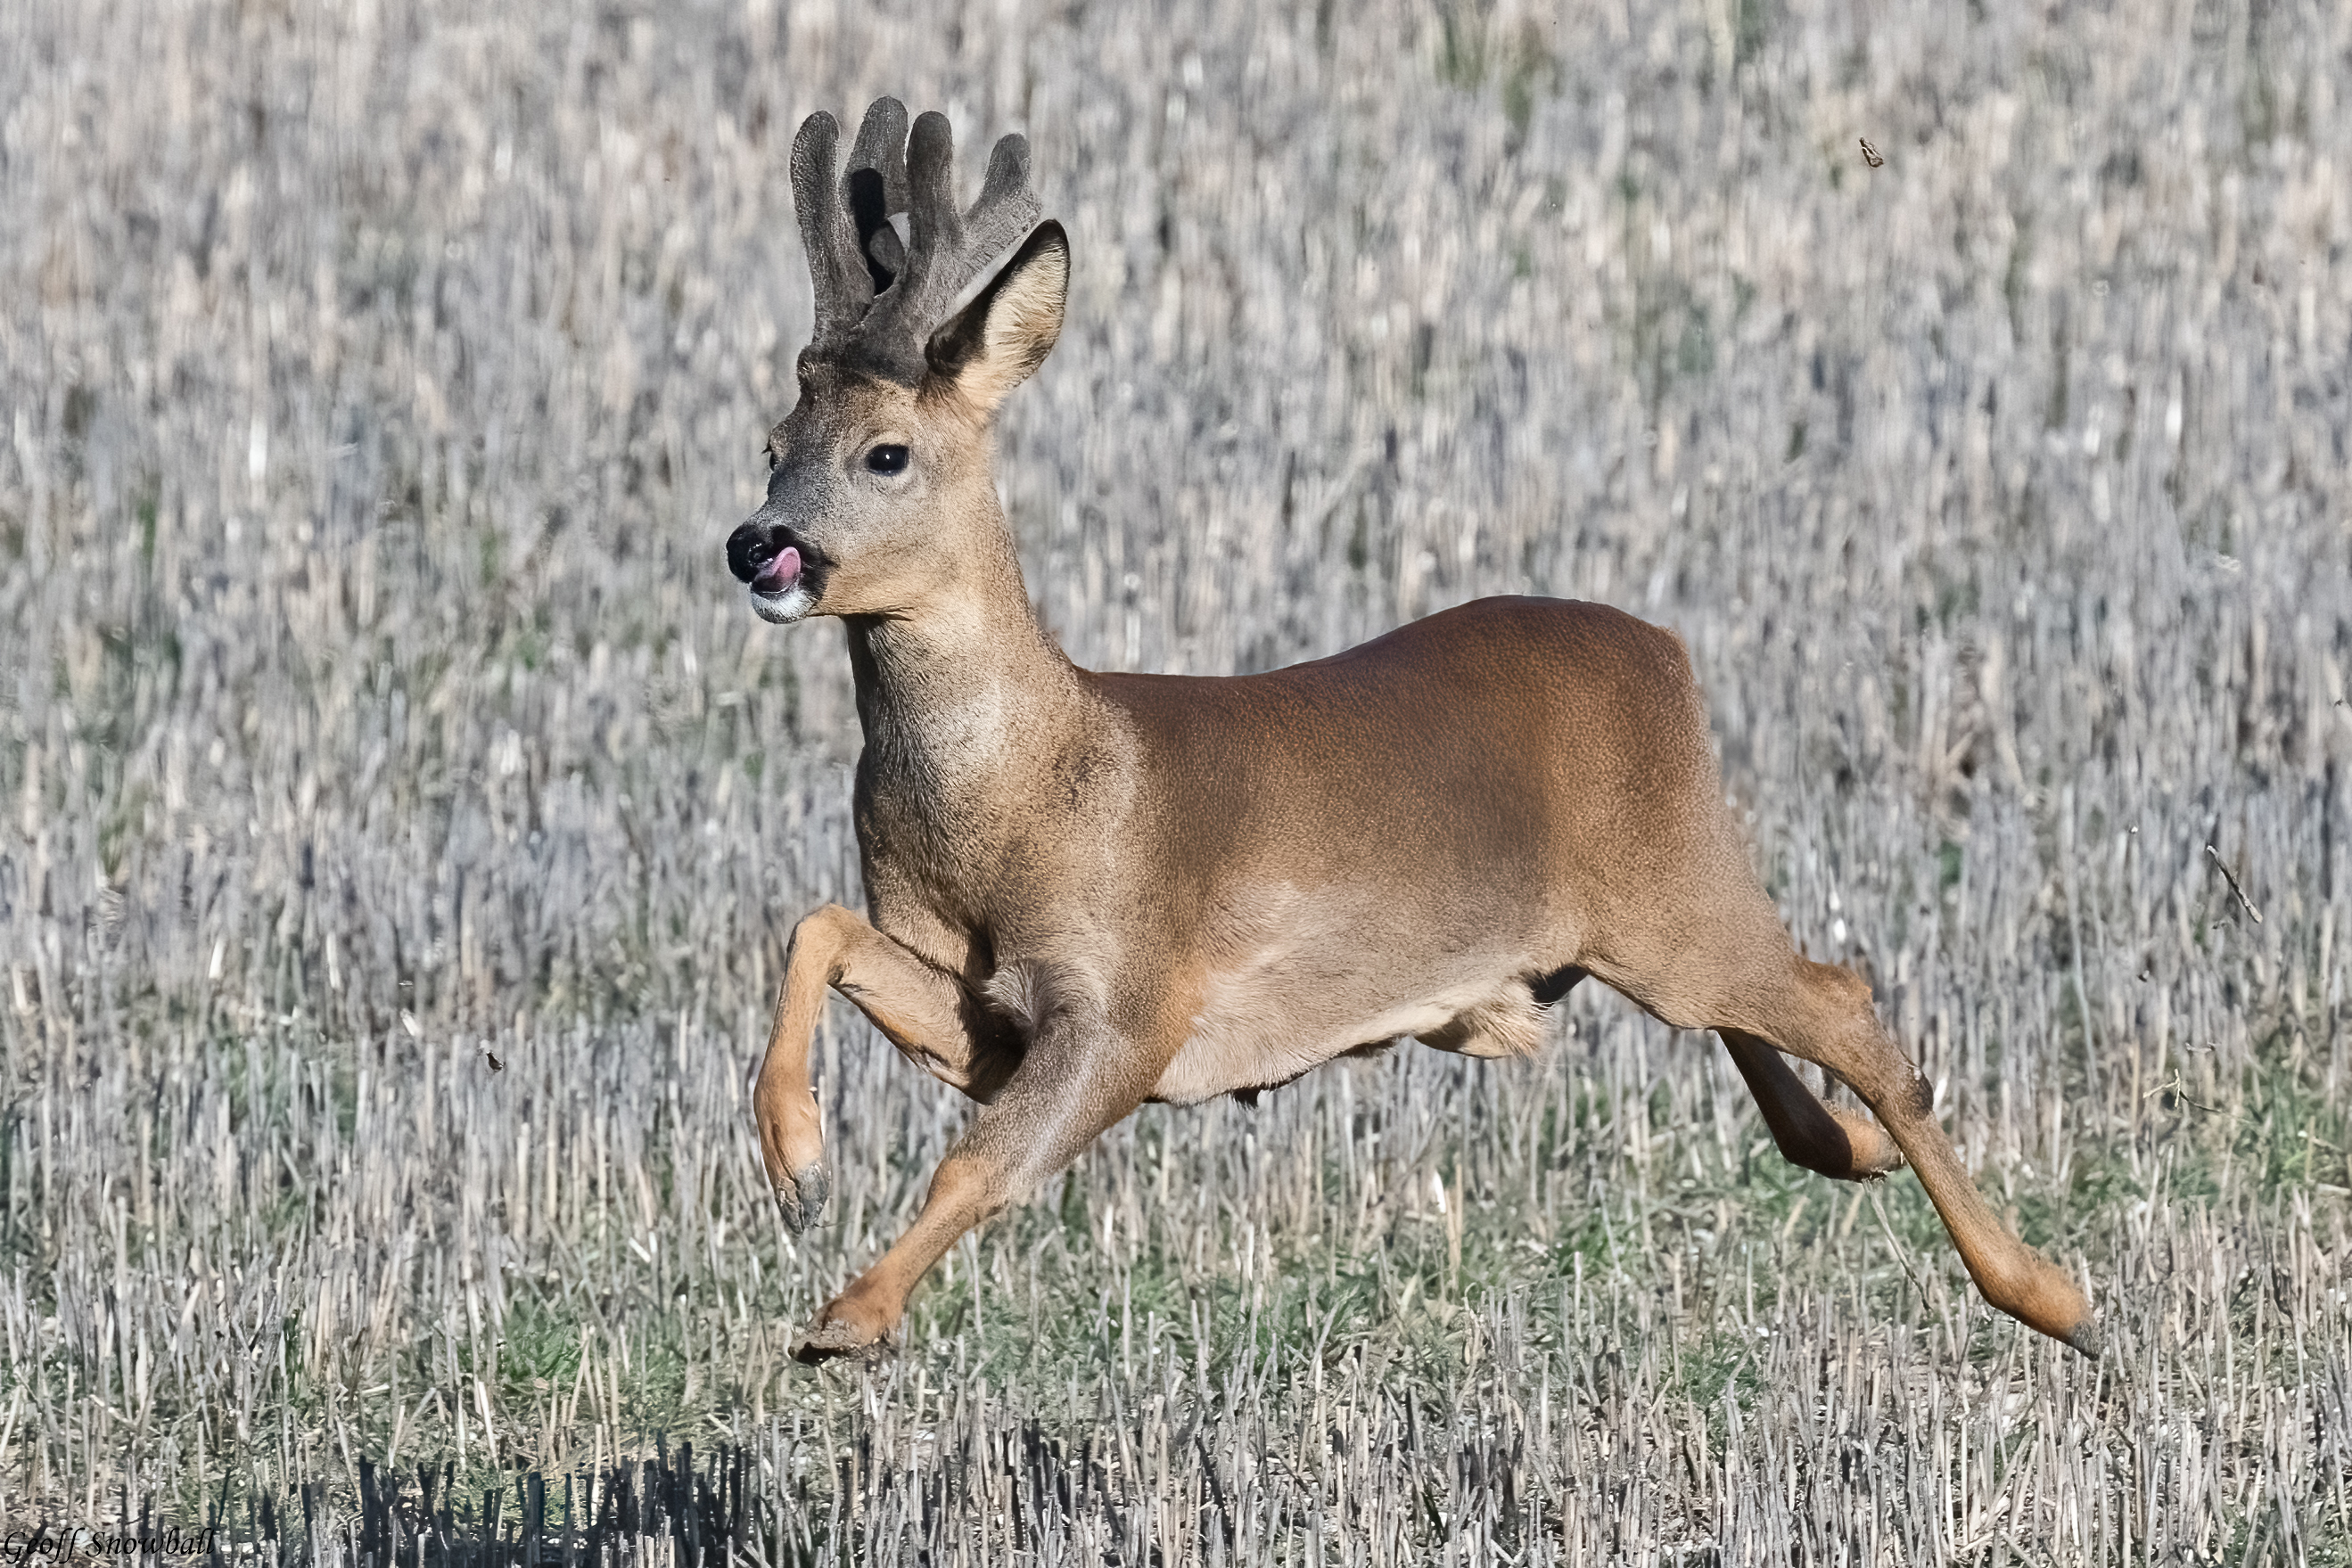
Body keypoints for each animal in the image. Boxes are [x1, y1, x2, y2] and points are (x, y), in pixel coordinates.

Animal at [724, 99, 2100, 1363]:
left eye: (887, 452)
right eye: (772, 443)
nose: (756, 544)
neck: (1032, 782)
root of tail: (1662, 650)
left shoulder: (1130, 992)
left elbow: (981, 1164)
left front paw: (846, 1314)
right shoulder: (988, 1012)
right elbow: (819, 926)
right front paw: (794, 1158)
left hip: (1671, 886)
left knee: (1844, 999)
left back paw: (2055, 1296)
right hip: (1643, 914)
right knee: (1777, 1015)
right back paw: (1852, 1148)